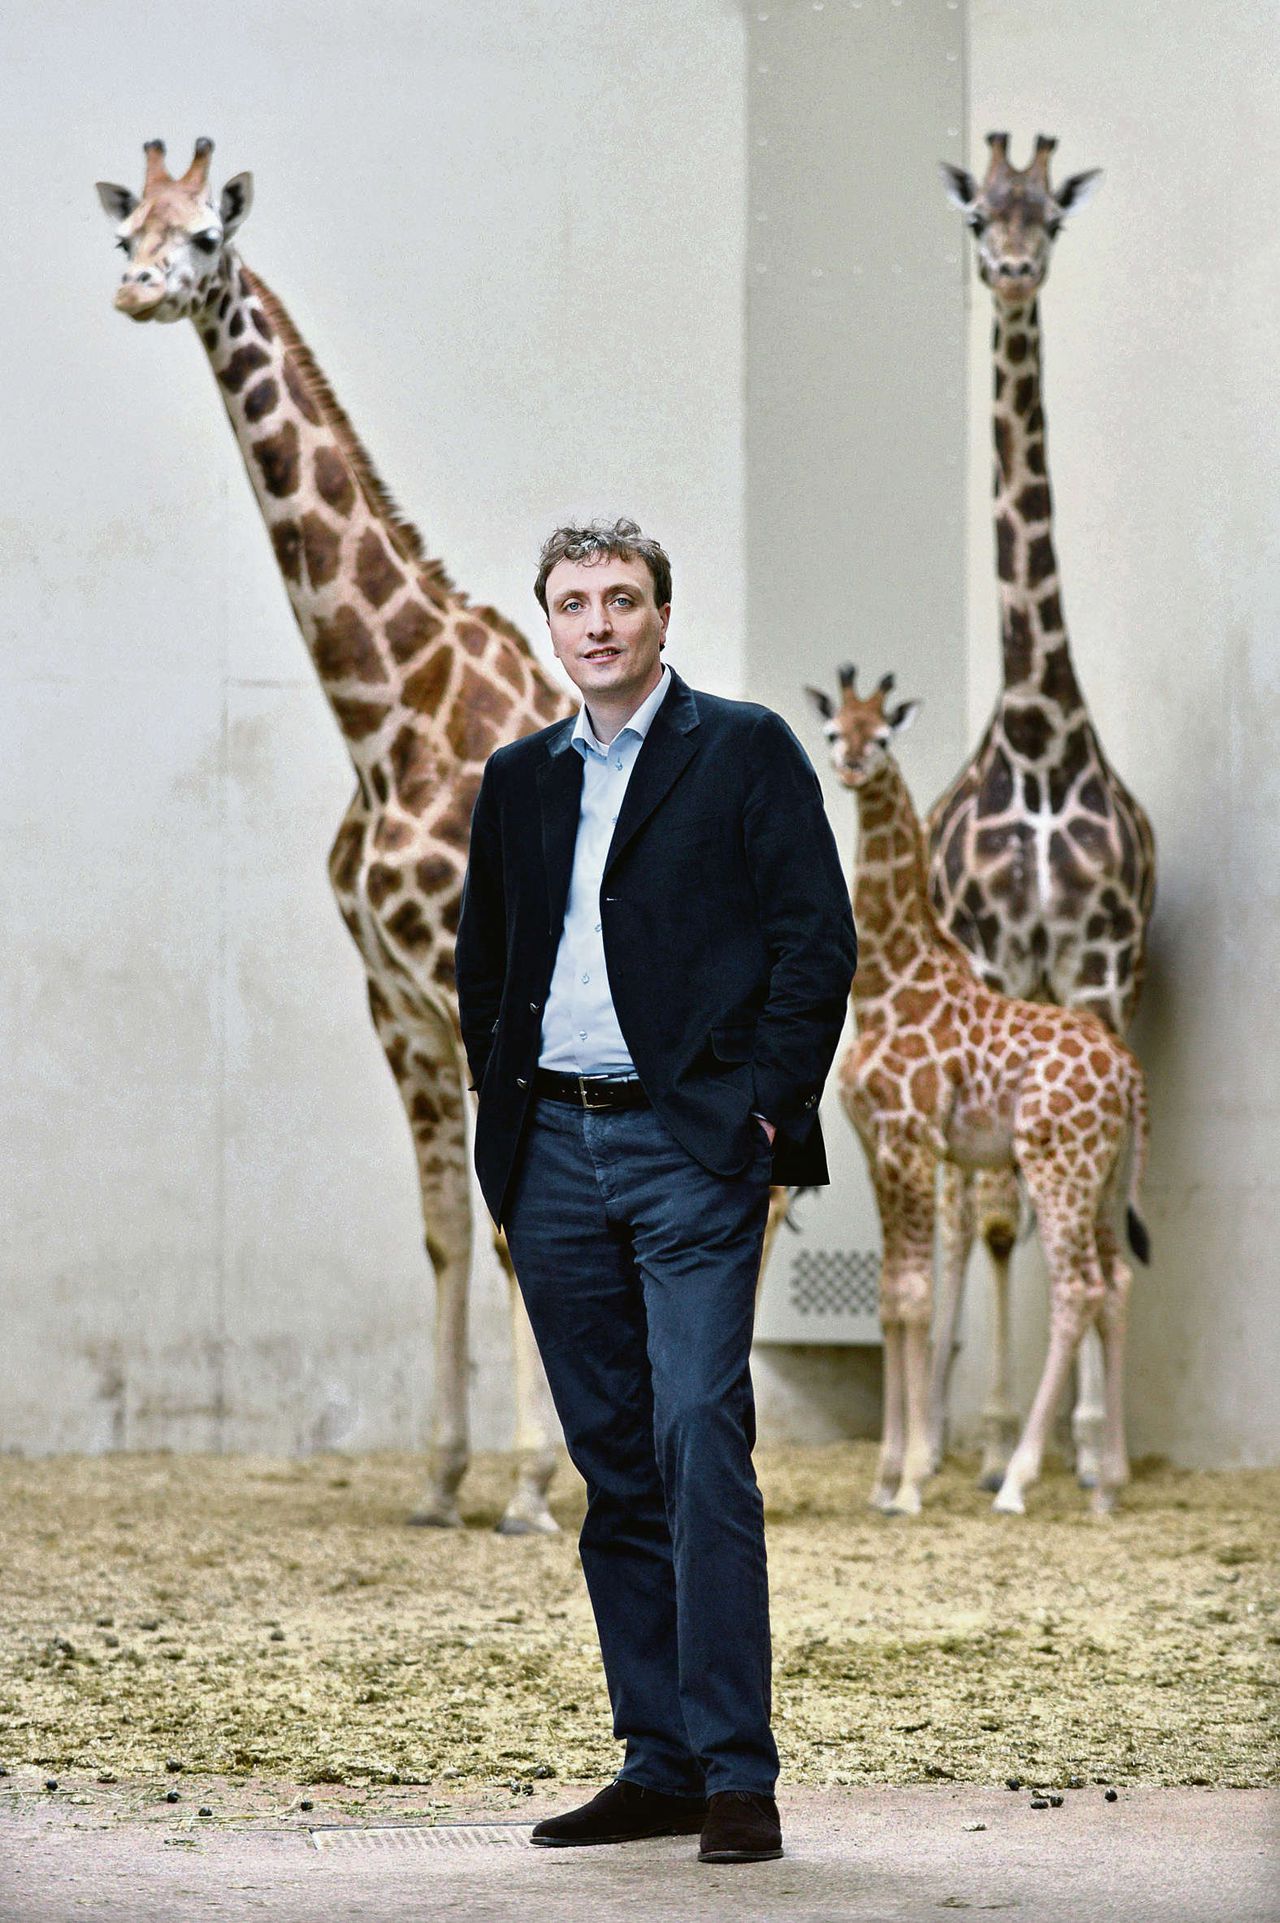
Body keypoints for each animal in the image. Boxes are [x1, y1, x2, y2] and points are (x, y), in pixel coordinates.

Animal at [96, 137, 570, 1533]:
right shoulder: (393, 1003)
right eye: (126, 233)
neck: (382, 712)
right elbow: (446, 1229)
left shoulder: (478, 1001)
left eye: (205, 236)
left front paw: (530, 1488)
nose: (137, 290)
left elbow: (513, 1223)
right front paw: (442, 1478)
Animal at [807, 667, 1149, 1518]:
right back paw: (1109, 1483)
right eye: (833, 730)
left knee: (1077, 1287)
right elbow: (890, 1296)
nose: (853, 765)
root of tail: (1130, 1077)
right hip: (1100, 1177)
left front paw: (908, 1481)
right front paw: (886, 1472)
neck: (886, 978)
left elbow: (916, 1294)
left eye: (881, 733)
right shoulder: (877, 1147)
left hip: (1057, 1166)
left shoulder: (909, 1139)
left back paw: (1022, 1476)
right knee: (1114, 1281)